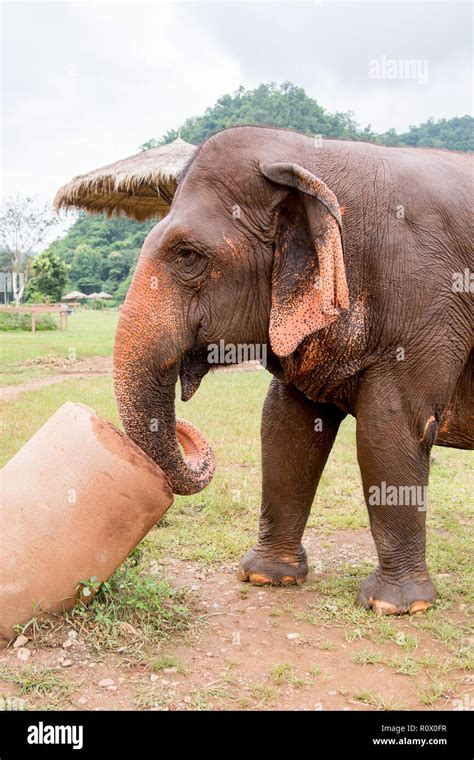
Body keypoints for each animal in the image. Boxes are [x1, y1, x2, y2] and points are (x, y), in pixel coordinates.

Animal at [114, 126, 473, 615]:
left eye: (188, 255)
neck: (311, 155)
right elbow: (286, 423)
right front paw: (266, 576)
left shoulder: (429, 299)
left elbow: (390, 426)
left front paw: (396, 606)